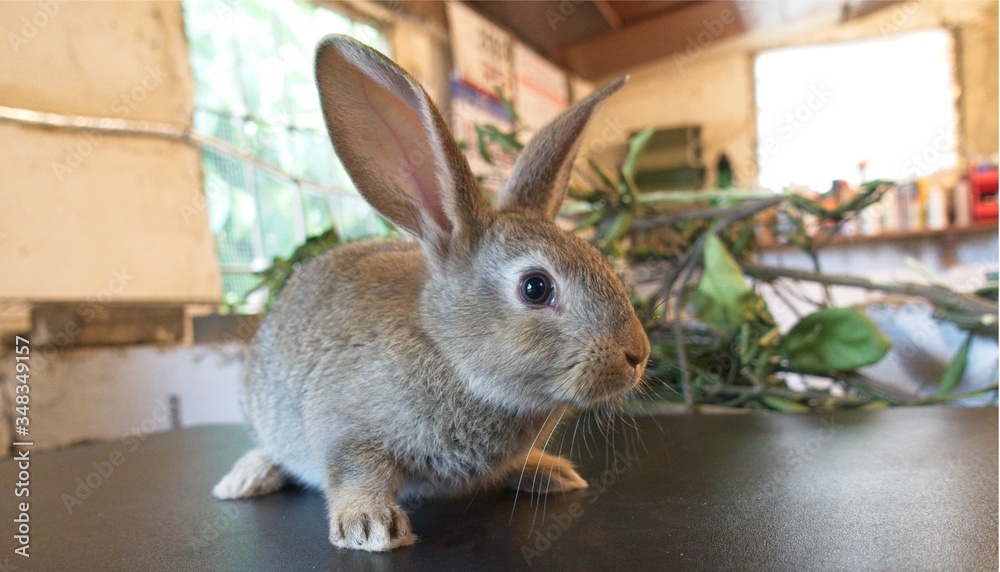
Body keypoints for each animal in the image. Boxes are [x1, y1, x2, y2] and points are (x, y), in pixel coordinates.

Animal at [212, 34, 650, 552]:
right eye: (535, 287)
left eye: (598, 258)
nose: (638, 354)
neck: (446, 349)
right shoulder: (343, 428)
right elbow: (355, 472)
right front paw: (369, 526)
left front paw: (551, 472)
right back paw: (245, 478)